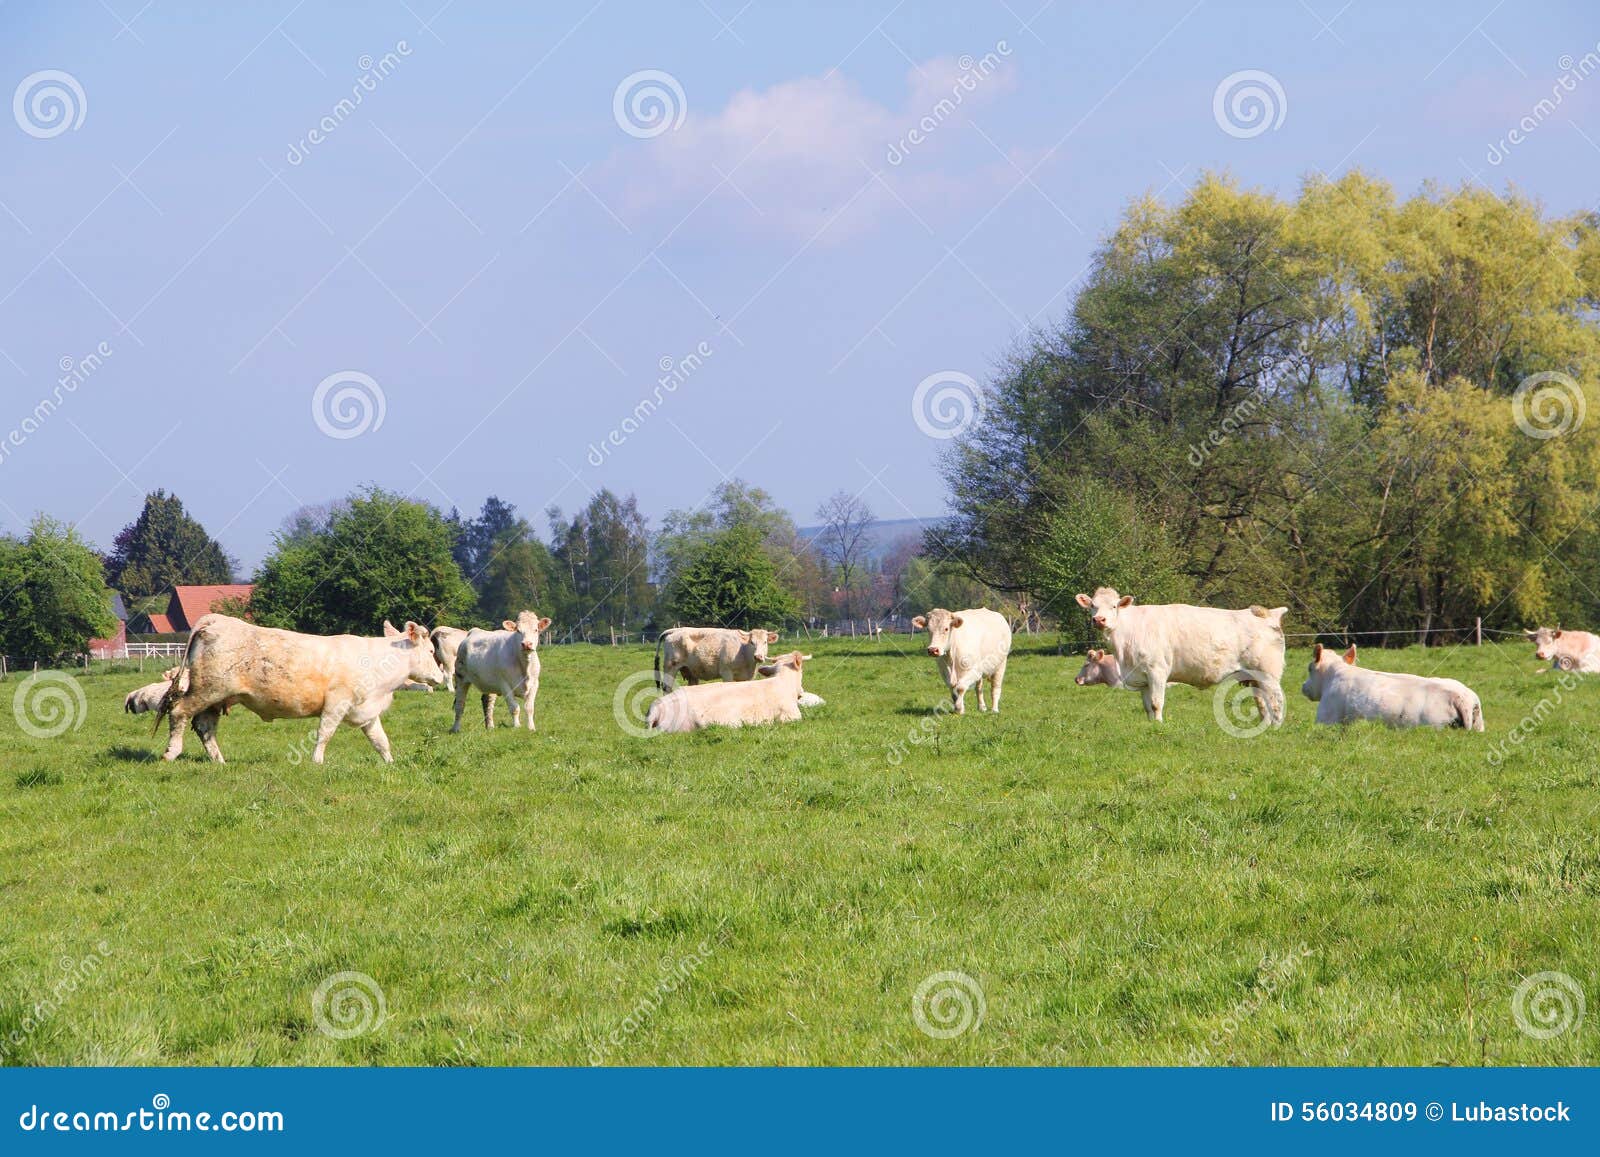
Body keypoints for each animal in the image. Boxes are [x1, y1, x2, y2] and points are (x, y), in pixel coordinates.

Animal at [155, 614, 445, 763]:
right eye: (431, 651)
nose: (441, 677)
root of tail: (216, 620)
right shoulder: (336, 704)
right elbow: (324, 734)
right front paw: (317, 761)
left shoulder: (367, 711)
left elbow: (380, 741)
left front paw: (390, 763)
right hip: (207, 689)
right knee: (179, 712)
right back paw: (171, 752)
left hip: (217, 697)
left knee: (205, 726)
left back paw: (219, 761)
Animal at [1074, 587, 1287, 724]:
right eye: (1093, 606)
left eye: (1114, 606)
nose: (1099, 620)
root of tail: (1268, 614)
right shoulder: (1142, 678)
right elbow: (1147, 706)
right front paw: (1151, 725)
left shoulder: (1157, 671)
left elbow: (1156, 703)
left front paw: (1159, 725)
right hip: (1254, 677)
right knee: (1262, 703)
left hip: (1268, 674)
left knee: (1276, 702)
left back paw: (1275, 728)